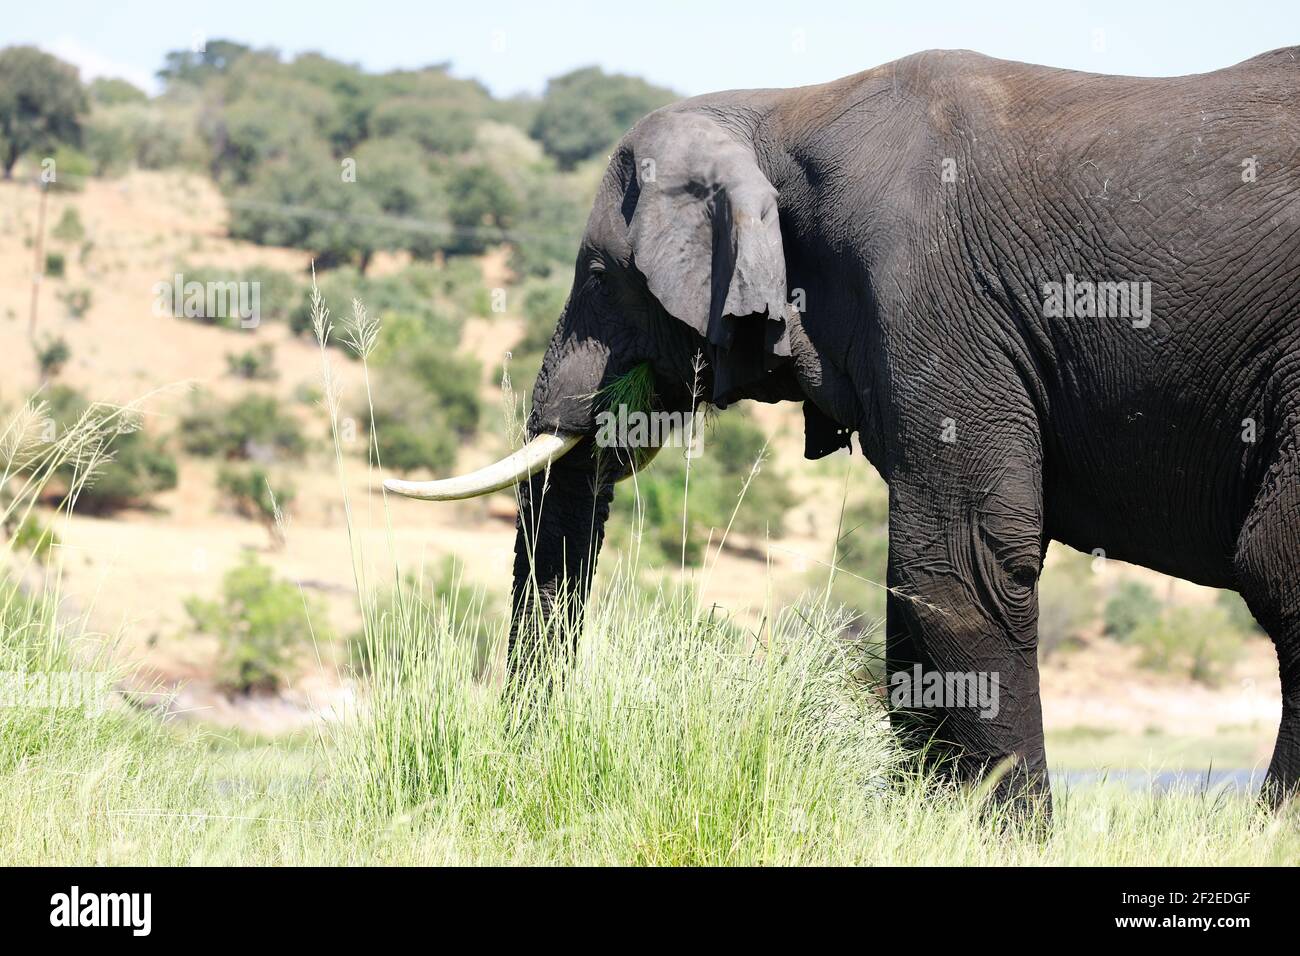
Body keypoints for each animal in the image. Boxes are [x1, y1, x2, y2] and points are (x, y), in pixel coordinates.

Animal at [387, 47, 1300, 810]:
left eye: (605, 277)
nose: (519, 767)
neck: (780, 107)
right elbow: (919, 587)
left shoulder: (932, 294)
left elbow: (957, 567)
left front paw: (1002, 837)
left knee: (1275, 568)